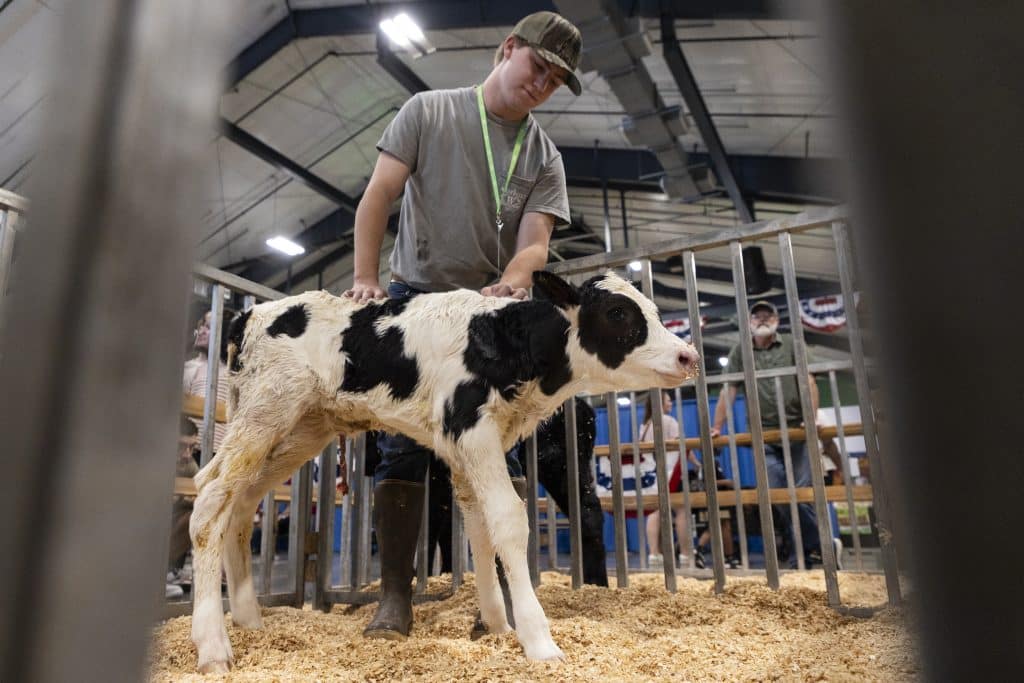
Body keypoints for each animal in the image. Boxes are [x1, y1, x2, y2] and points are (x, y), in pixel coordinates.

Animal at [188, 270, 699, 673]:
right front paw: (538, 640)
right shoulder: (471, 428)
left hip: (303, 426)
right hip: (266, 412)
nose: (689, 357)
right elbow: (508, 522)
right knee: (209, 498)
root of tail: (251, 313)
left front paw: (496, 623)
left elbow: (478, 529)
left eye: (655, 312)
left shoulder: (468, 447)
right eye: (618, 312)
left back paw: (250, 620)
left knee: (240, 504)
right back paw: (213, 646)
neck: (500, 340)